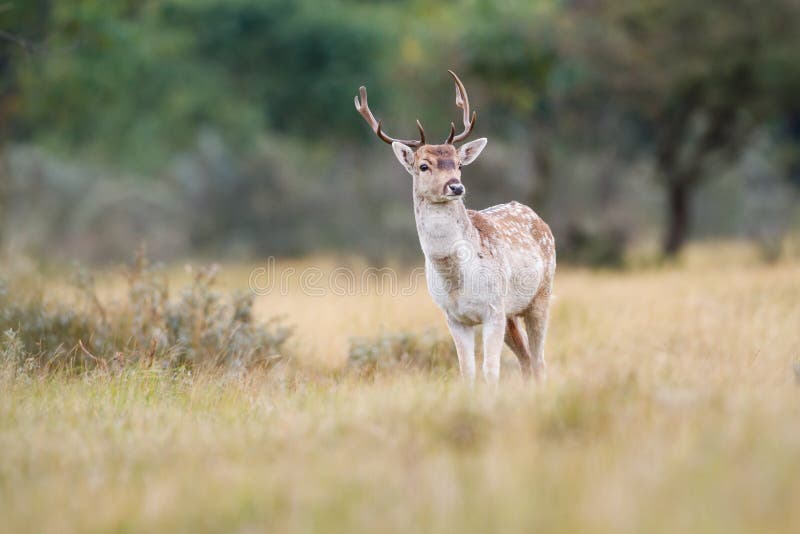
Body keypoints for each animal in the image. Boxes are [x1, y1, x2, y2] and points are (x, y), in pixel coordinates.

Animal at [355, 70, 556, 385]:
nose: (456, 186)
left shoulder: (493, 309)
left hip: (541, 295)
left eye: (459, 164)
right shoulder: (453, 316)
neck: (457, 280)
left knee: (539, 361)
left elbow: (490, 370)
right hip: (513, 312)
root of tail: (536, 216)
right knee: (525, 359)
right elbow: (467, 371)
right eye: (424, 166)